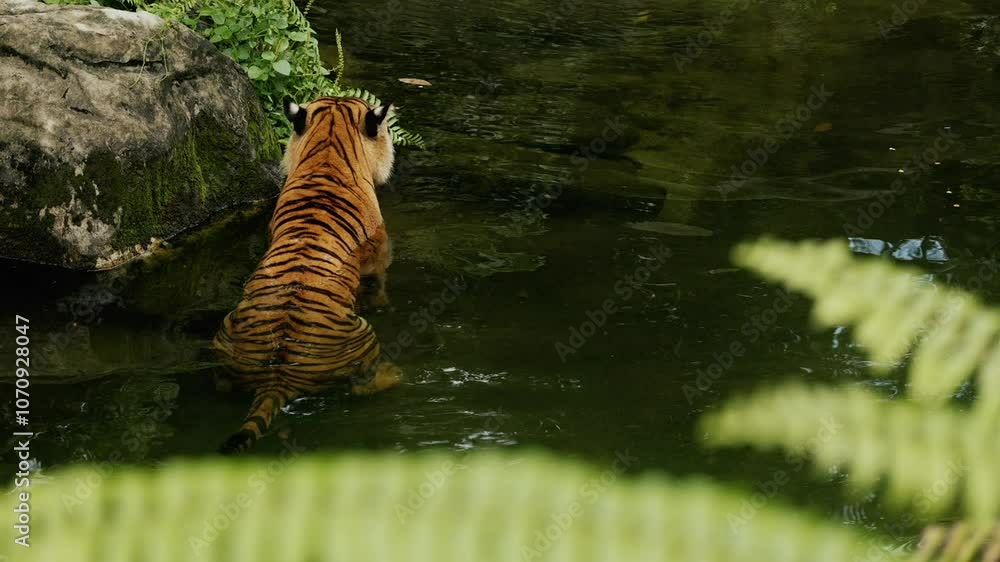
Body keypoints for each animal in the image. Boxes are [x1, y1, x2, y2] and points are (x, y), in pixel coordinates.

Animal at [212, 96, 402, 454]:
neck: (327, 154)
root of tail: (276, 377)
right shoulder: (379, 255)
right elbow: (380, 283)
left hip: (225, 336)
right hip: (364, 337)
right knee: (364, 386)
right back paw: (394, 375)